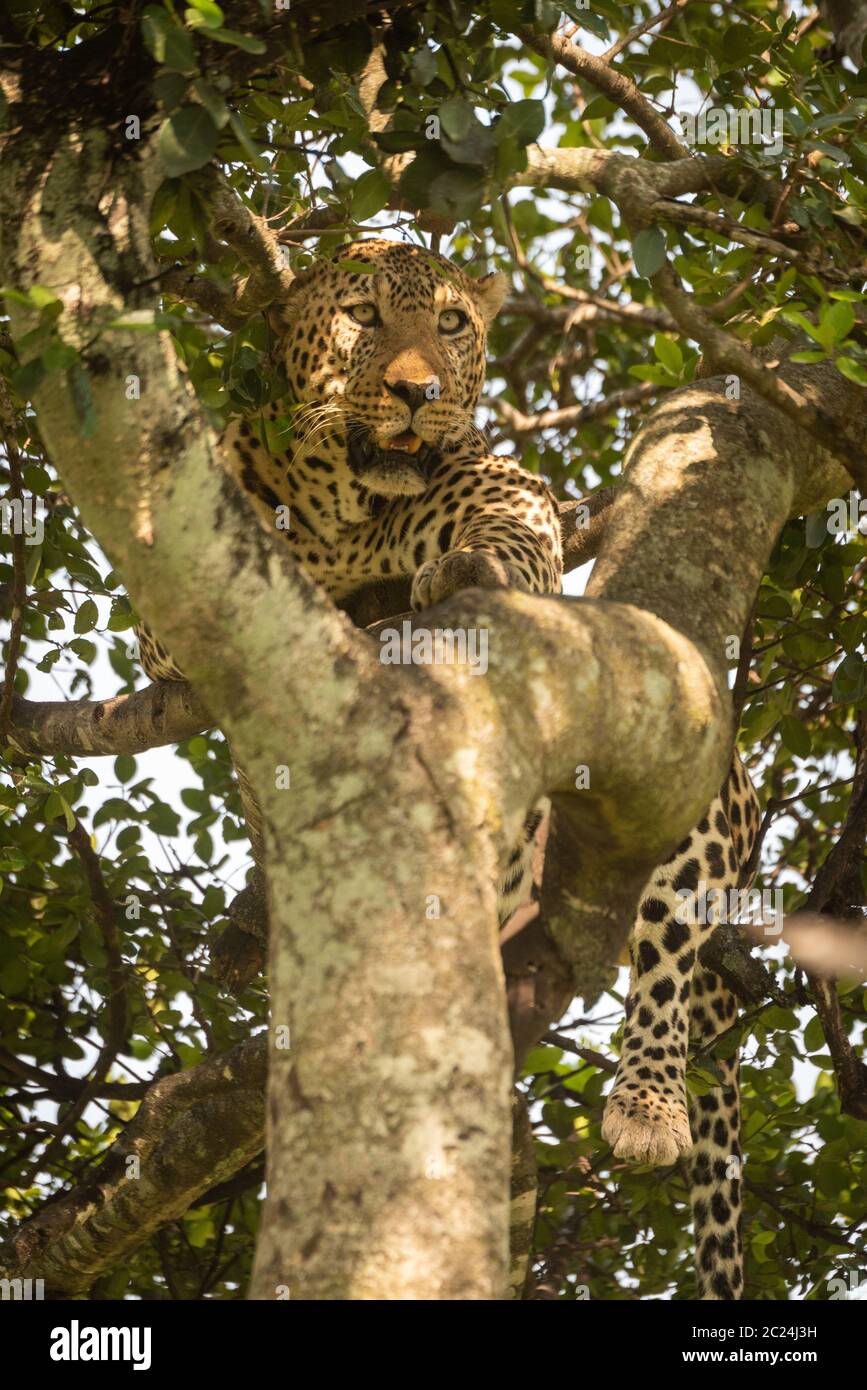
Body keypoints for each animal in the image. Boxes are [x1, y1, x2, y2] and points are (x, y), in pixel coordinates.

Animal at [136, 237, 760, 1300]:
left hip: (695, 794)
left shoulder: (499, 488)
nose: (417, 390)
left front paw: (463, 571)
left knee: (667, 953)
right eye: (361, 317)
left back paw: (647, 1102)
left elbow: (499, 542)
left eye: (452, 325)